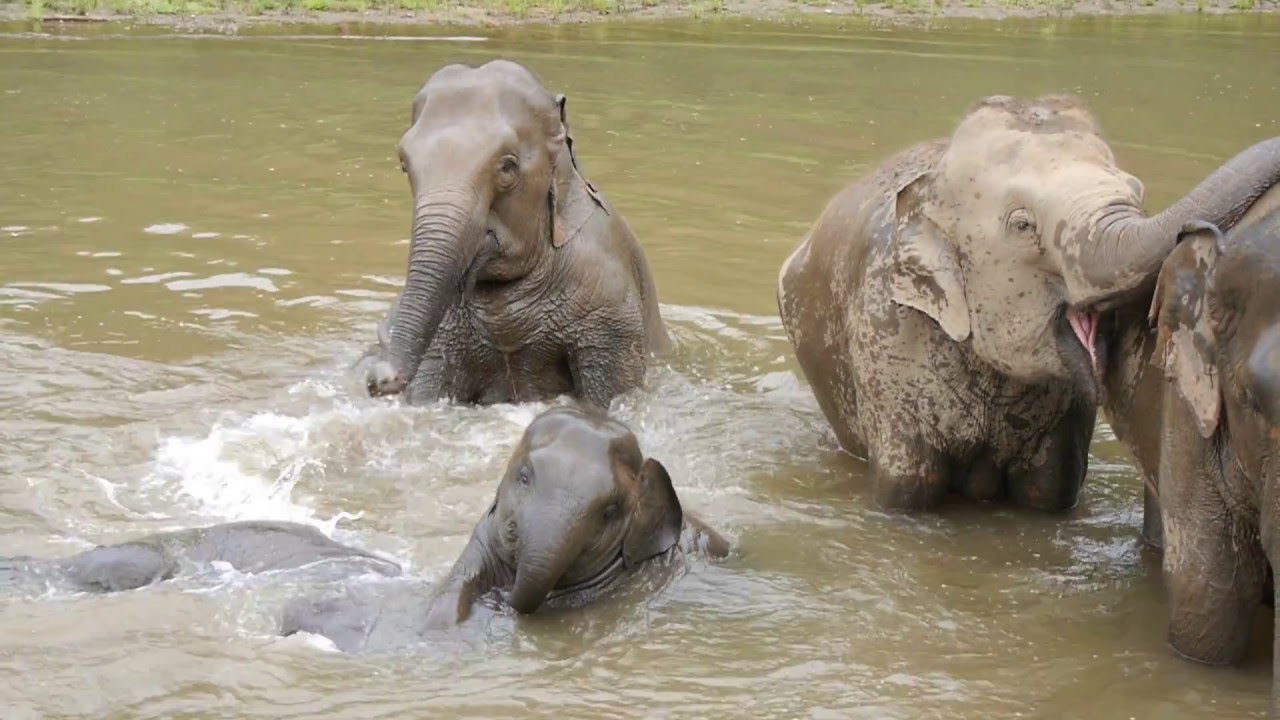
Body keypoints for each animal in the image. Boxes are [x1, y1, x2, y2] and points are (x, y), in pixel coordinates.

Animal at [776, 94, 1280, 513]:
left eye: (1136, 192)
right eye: (1022, 225)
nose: (1202, 231)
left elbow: (1048, 491)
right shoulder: (886, 337)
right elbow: (909, 489)